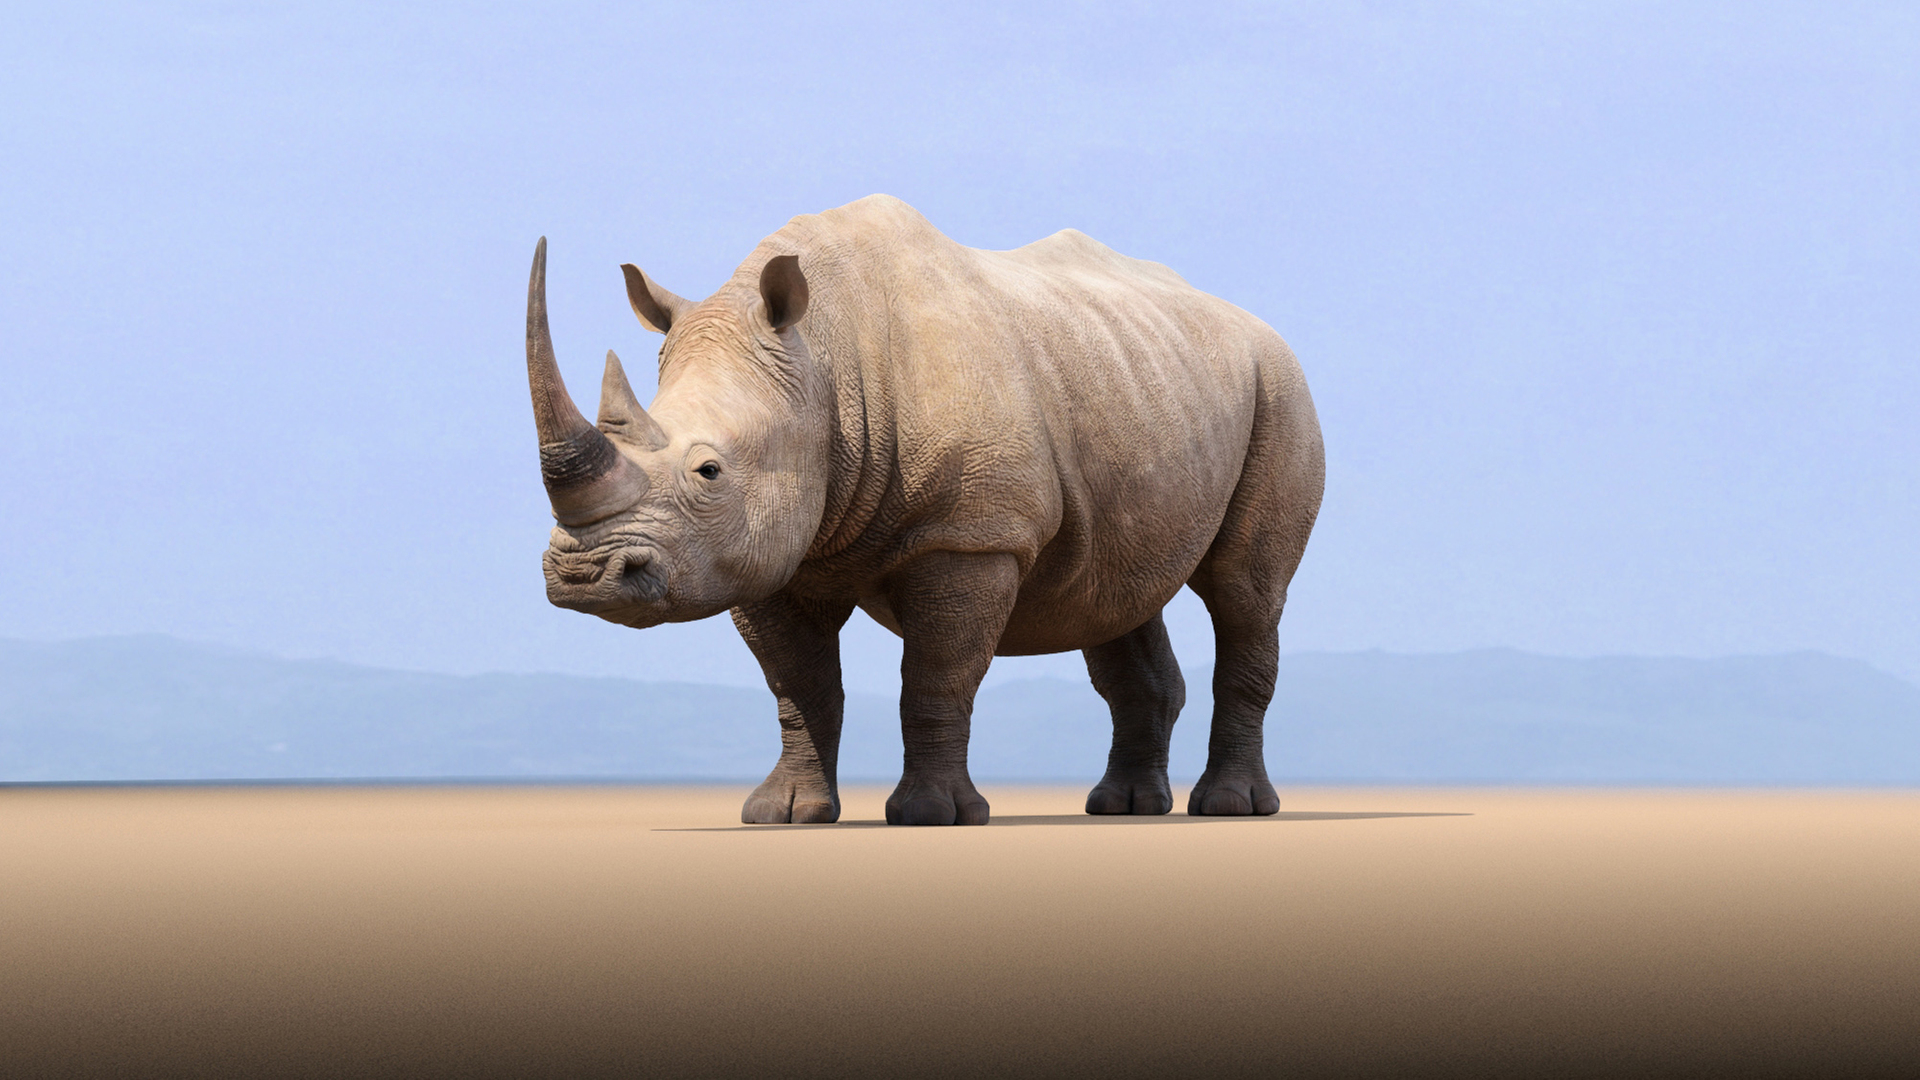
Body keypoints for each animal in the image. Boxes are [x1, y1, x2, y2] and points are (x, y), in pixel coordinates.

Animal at [524, 195, 1323, 825]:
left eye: (709, 471)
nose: (584, 577)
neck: (824, 364)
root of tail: (1252, 322)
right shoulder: (760, 551)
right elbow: (799, 683)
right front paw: (785, 814)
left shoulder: (968, 536)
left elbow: (937, 675)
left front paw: (931, 816)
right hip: (1141, 383)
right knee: (1113, 592)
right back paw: (1123, 808)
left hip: (1280, 389)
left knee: (1243, 589)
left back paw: (1231, 807)